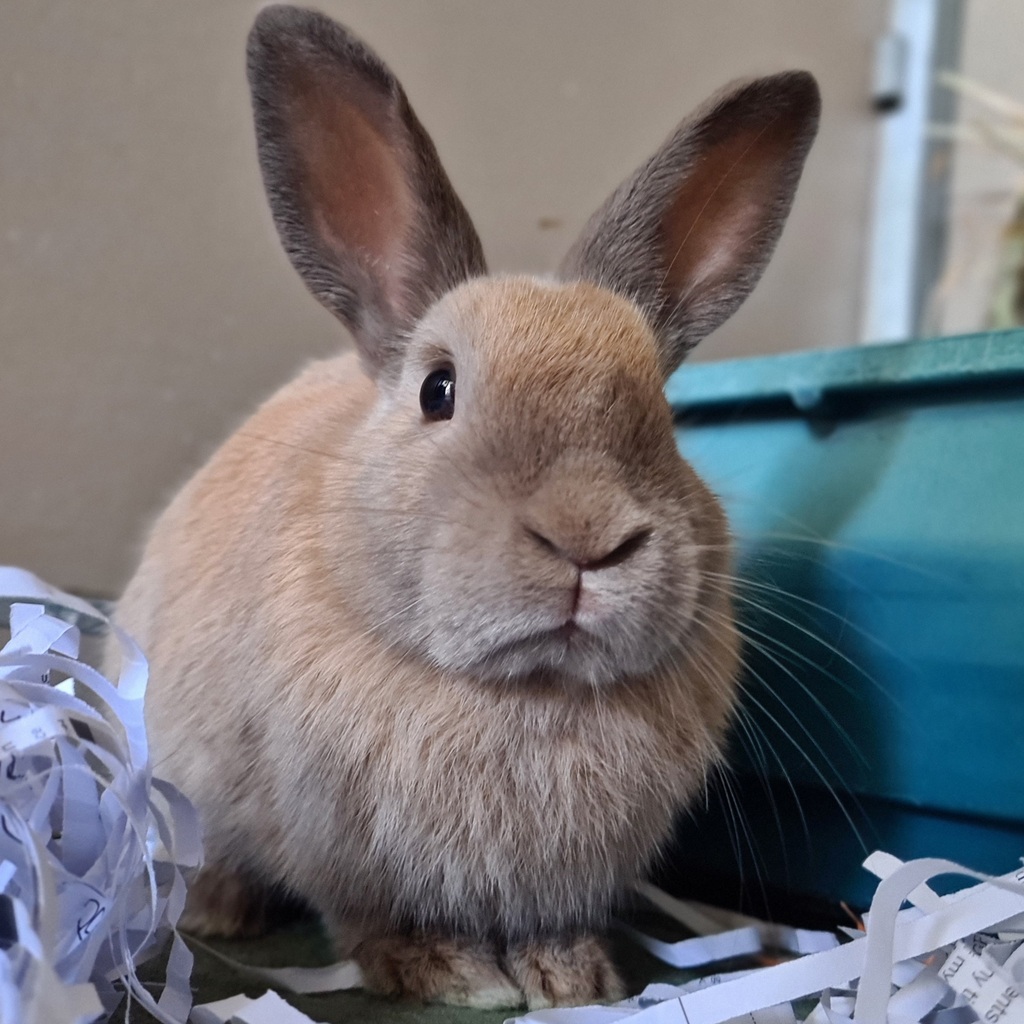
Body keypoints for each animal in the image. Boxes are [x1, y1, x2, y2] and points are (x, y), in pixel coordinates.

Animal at [112, 4, 819, 1011]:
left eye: (662, 410)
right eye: (437, 391)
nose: (587, 538)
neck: (528, 693)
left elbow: (549, 924)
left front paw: (573, 980)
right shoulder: (341, 852)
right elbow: (378, 918)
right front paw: (450, 973)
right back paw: (219, 912)